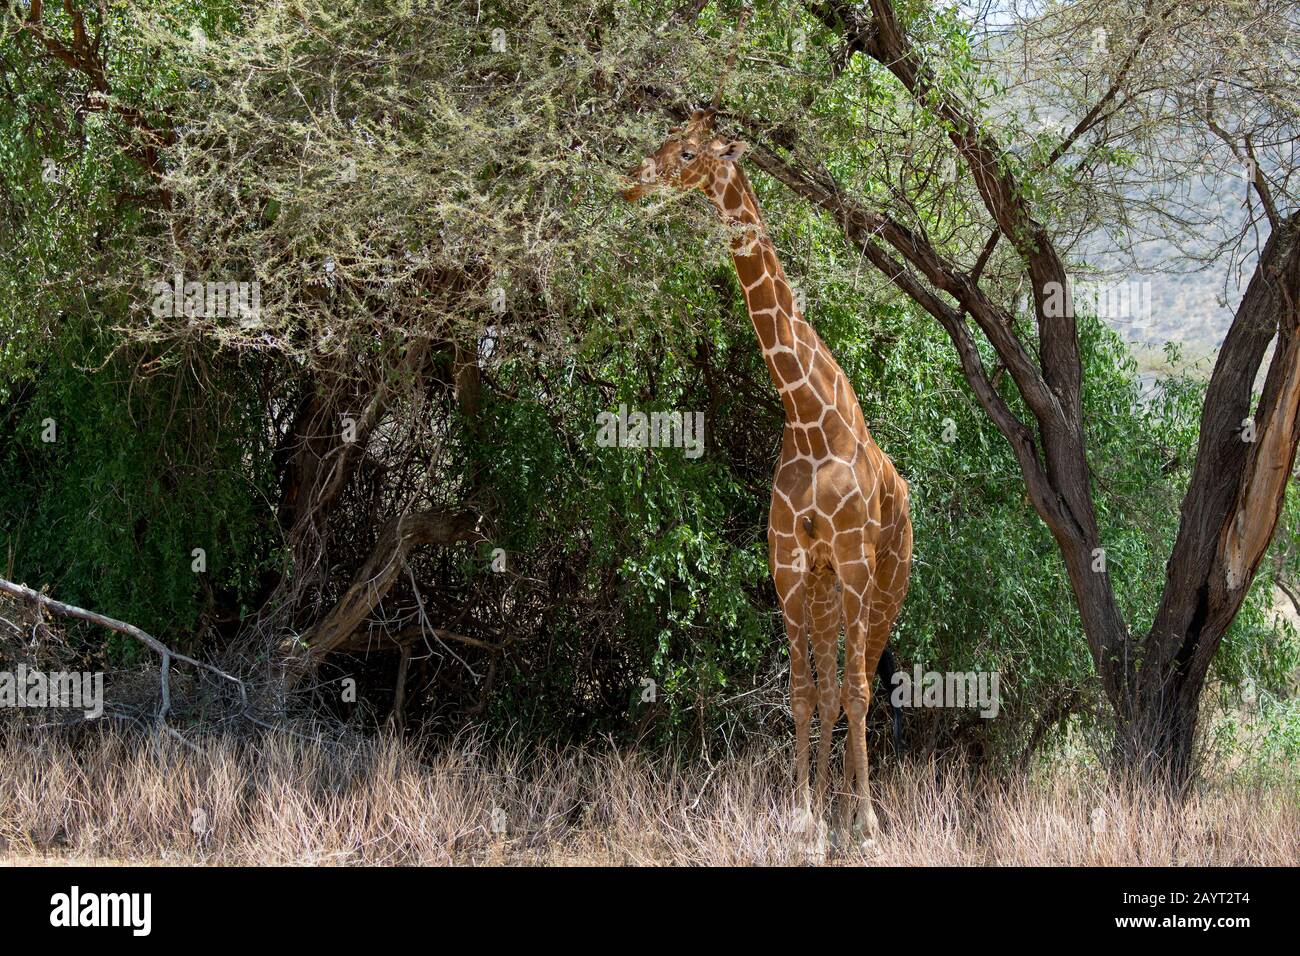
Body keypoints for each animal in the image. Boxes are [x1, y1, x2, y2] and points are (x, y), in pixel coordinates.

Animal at [623, 110, 912, 840]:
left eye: (689, 153)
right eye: (666, 141)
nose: (632, 181)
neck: (806, 412)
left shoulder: (854, 561)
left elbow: (856, 691)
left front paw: (865, 826)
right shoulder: (789, 562)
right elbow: (803, 690)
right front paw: (805, 814)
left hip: (886, 585)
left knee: (864, 682)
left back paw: (856, 813)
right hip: (827, 589)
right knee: (833, 687)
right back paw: (833, 807)